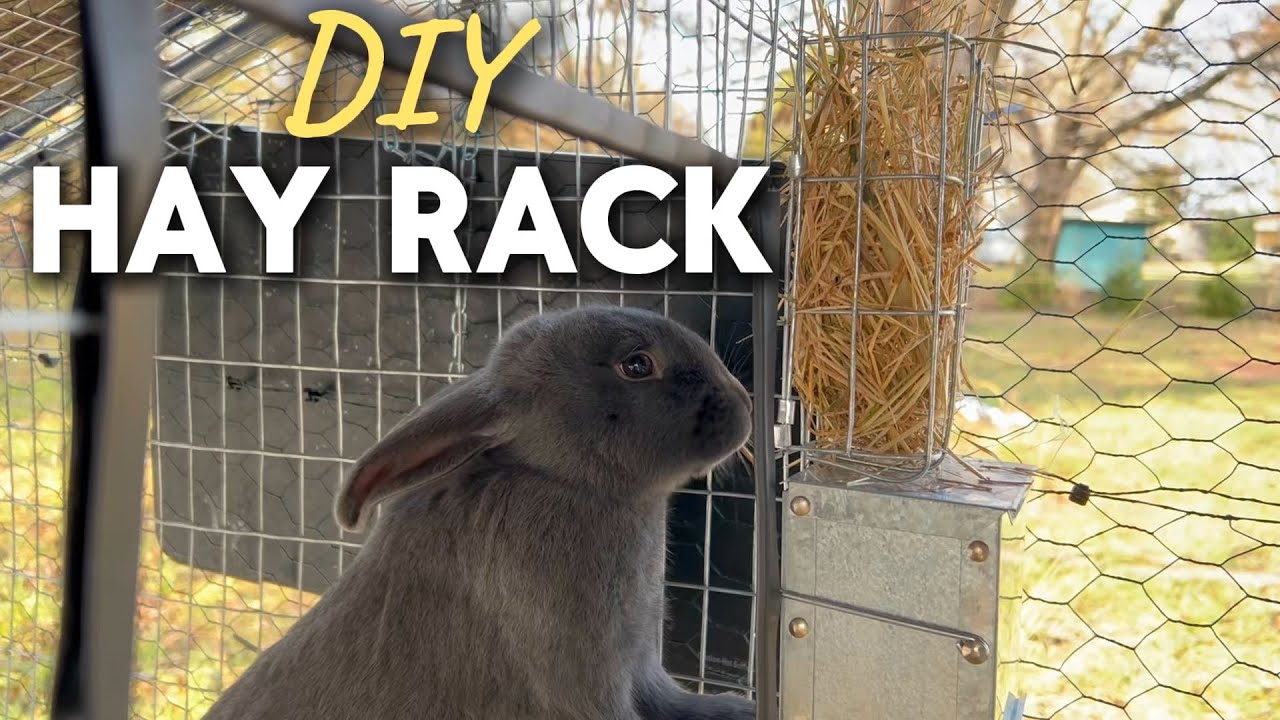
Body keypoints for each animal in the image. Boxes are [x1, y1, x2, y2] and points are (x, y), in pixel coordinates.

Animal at [201, 305, 758, 720]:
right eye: (637, 365)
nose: (745, 403)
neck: (562, 480)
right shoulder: (582, 680)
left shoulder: (643, 671)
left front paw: (739, 709)